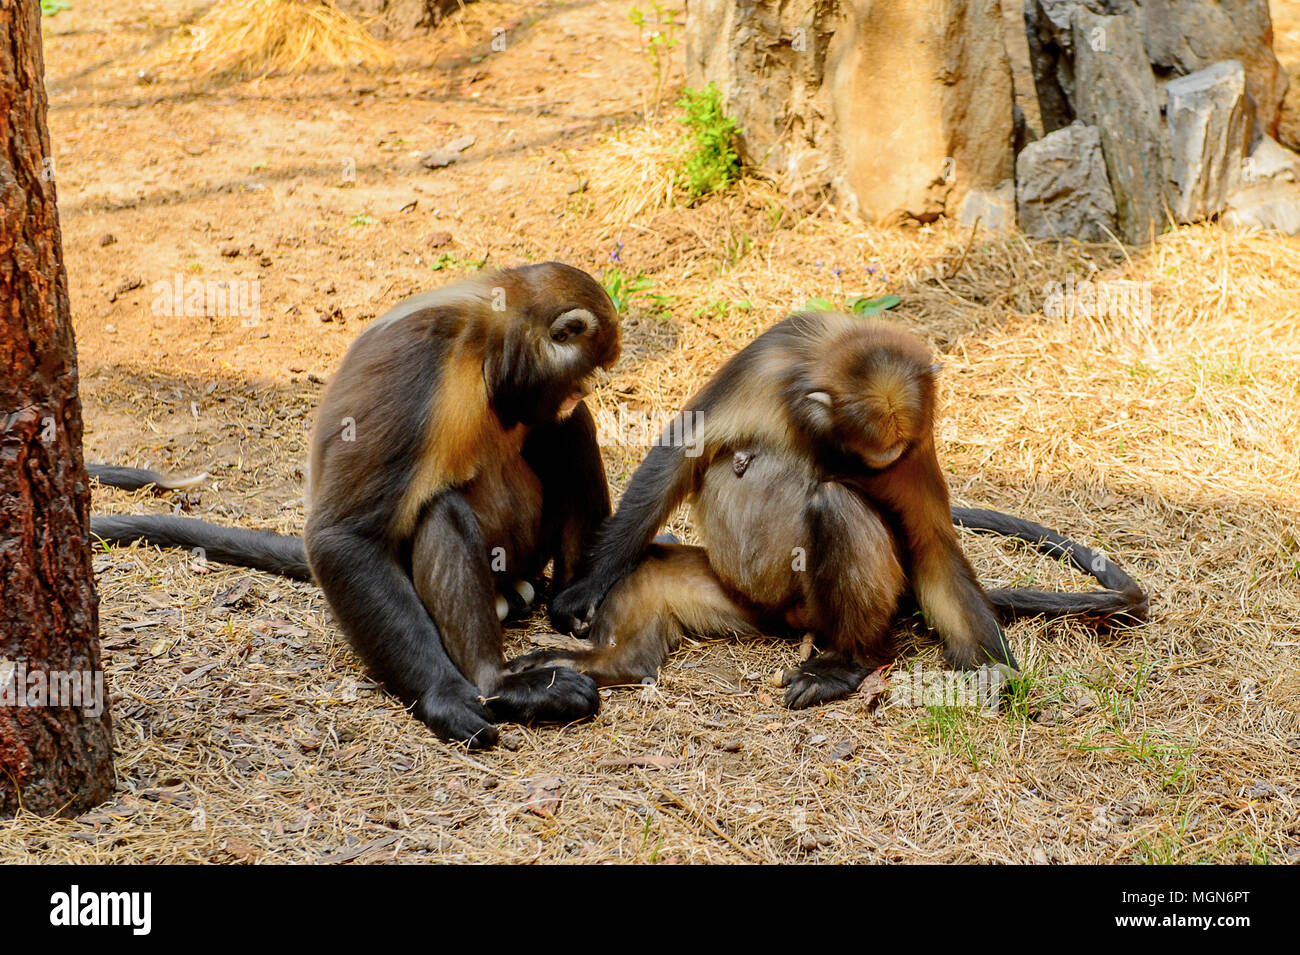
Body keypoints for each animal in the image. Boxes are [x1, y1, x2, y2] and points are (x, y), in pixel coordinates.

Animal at [91, 262, 621, 747]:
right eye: (588, 369)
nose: (585, 389)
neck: (484, 353)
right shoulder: (420, 363)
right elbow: (344, 538)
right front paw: (444, 697)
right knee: (445, 507)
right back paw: (498, 682)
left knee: (565, 427)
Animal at [531, 311, 1146, 706]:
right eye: (864, 453)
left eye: (883, 459)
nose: (877, 468)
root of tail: (792, 621)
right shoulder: (770, 356)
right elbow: (674, 461)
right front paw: (584, 592)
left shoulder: (917, 432)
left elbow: (928, 541)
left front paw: (993, 669)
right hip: (744, 606)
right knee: (654, 569)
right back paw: (611, 663)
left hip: (824, 609)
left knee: (834, 505)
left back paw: (848, 663)